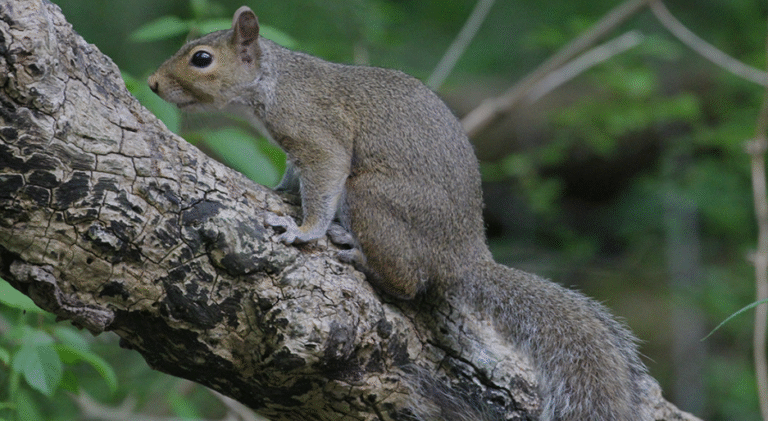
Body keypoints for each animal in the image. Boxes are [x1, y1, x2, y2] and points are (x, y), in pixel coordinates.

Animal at [148, 6, 653, 420]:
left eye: (201, 58)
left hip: (371, 198)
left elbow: (324, 179)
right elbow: (295, 178)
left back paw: (359, 257)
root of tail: (464, 257)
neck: (276, 80)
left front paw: (303, 230)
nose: (152, 84)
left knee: (408, 282)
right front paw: (281, 192)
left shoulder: (317, 132)